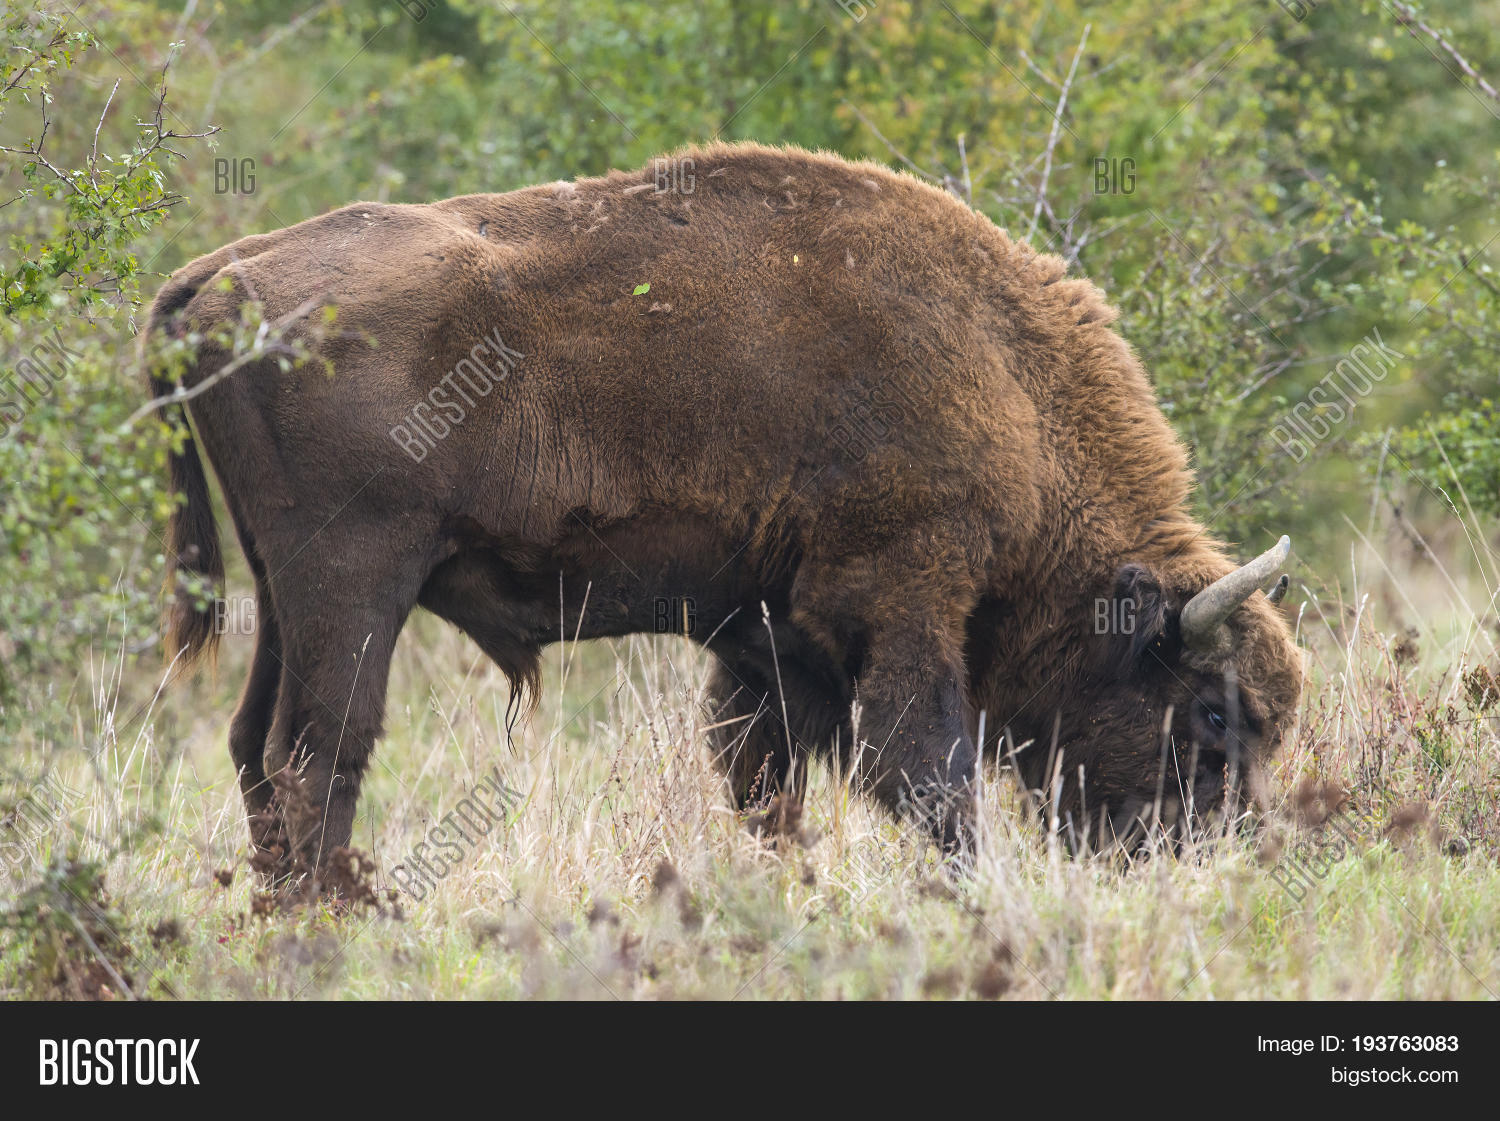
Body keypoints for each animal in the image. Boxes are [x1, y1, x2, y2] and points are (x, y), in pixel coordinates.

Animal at [143, 142, 1301, 875]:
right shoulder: (900, 603)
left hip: (281, 592)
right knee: (317, 750)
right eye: (1211, 713)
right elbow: (926, 775)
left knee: (253, 743)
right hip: (353, 587)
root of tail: (222, 273)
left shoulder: (765, 644)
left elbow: (764, 784)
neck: (1000, 372)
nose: (1218, 857)